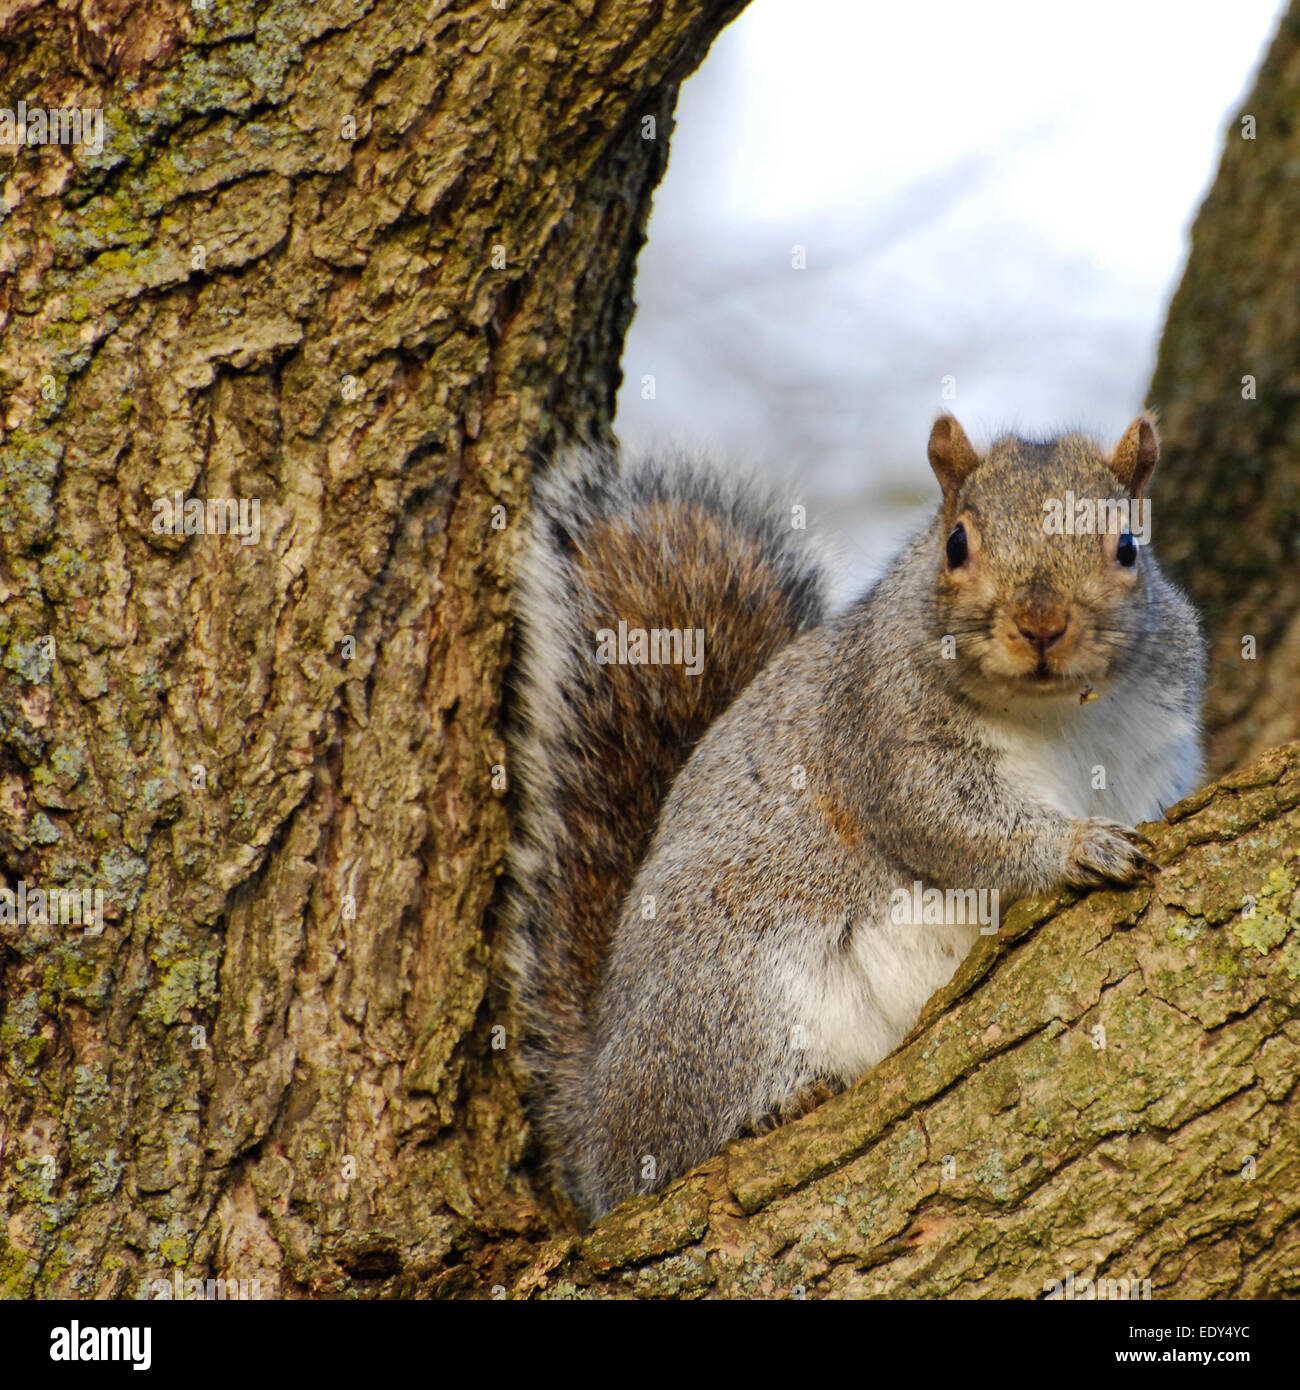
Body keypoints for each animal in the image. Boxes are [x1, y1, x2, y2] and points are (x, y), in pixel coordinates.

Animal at [503, 414, 1206, 1221]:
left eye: (1127, 545)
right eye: (956, 544)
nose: (1041, 624)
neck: (1057, 710)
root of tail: (595, 1108)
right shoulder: (885, 735)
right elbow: (955, 829)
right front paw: (1076, 848)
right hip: (725, 994)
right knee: (669, 1143)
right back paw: (769, 1106)